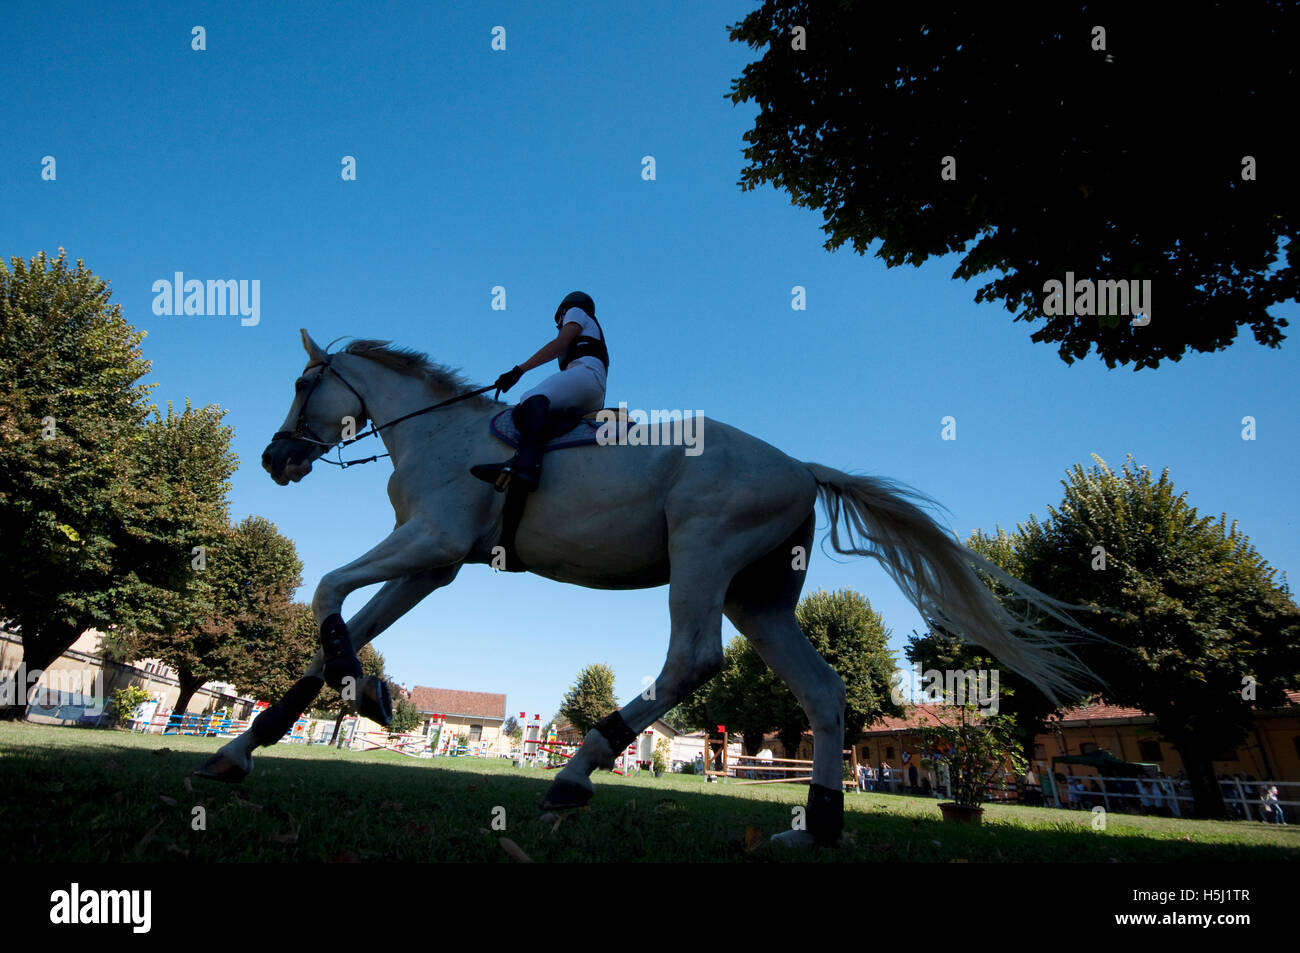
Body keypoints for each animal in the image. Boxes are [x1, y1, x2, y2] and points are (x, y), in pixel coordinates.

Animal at [197, 329, 1097, 847]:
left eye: (303, 384)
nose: (275, 458)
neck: (436, 430)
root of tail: (802, 467)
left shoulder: (432, 543)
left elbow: (326, 590)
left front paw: (364, 690)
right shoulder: (430, 563)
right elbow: (332, 637)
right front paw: (248, 745)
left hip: (701, 555)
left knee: (692, 661)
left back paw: (574, 774)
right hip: (757, 596)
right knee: (823, 690)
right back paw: (817, 826)